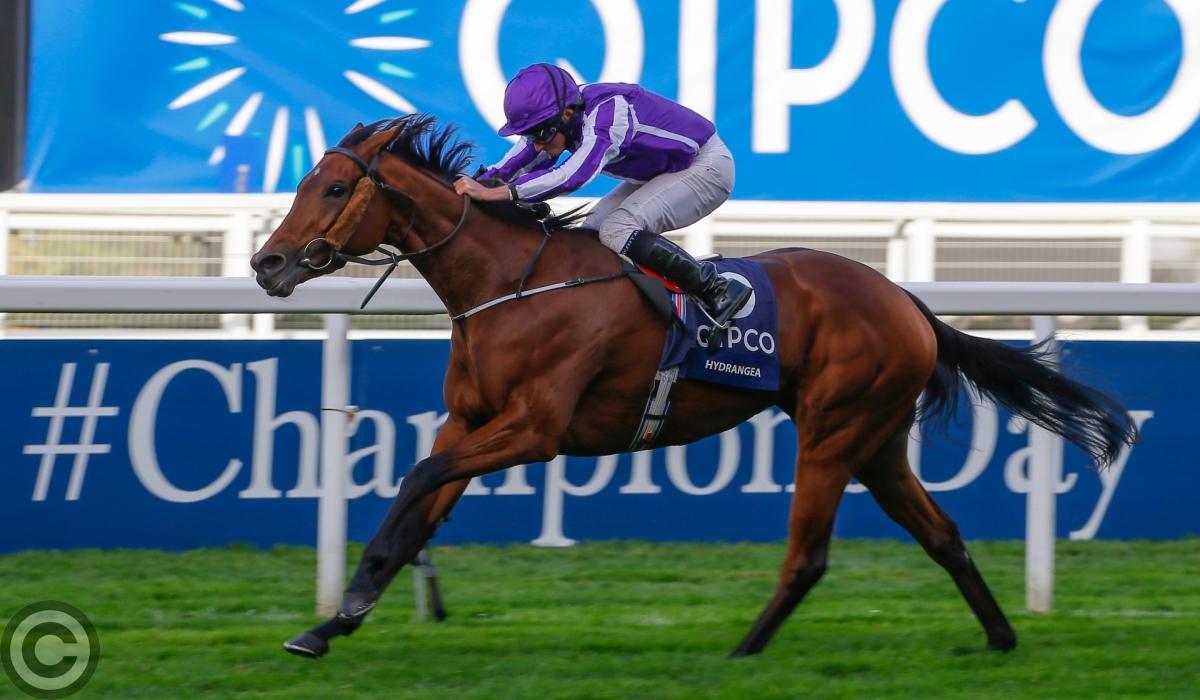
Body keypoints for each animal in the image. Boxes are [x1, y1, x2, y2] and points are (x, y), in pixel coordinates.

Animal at [250, 115, 1138, 659]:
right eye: (306, 184)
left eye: (335, 189)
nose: (267, 263)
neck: (509, 283)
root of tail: (908, 303)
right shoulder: (468, 422)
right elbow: (413, 514)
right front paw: (327, 624)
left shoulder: (534, 428)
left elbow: (419, 478)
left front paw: (346, 609)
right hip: (877, 440)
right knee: (943, 534)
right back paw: (1000, 638)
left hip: (832, 432)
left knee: (808, 556)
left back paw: (743, 650)